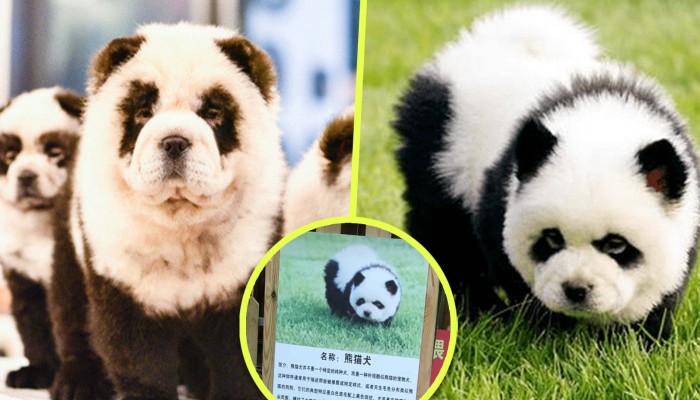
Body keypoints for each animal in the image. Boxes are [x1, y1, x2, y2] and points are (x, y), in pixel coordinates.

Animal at [0, 87, 82, 389]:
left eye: (54, 152)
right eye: (10, 157)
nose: (25, 176)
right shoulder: (25, 278)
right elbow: (35, 329)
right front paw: (38, 372)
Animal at [49, 23, 285, 400]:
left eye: (212, 113)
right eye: (144, 112)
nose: (174, 142)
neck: (180, 216)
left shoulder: (246, 257)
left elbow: (238, 352)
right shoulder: (121, 267)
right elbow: (139, 351)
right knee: (70, 307)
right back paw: (77, 382)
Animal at [394, 5, 700, 341]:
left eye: (616, 245)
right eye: (552, 238)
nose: (576, 289)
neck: (602, 123)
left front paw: (637, 338)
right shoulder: (502, 192)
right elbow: (509, 264)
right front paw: (549, 332)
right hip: (442, 151)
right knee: (446, 236)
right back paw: (474, 310)